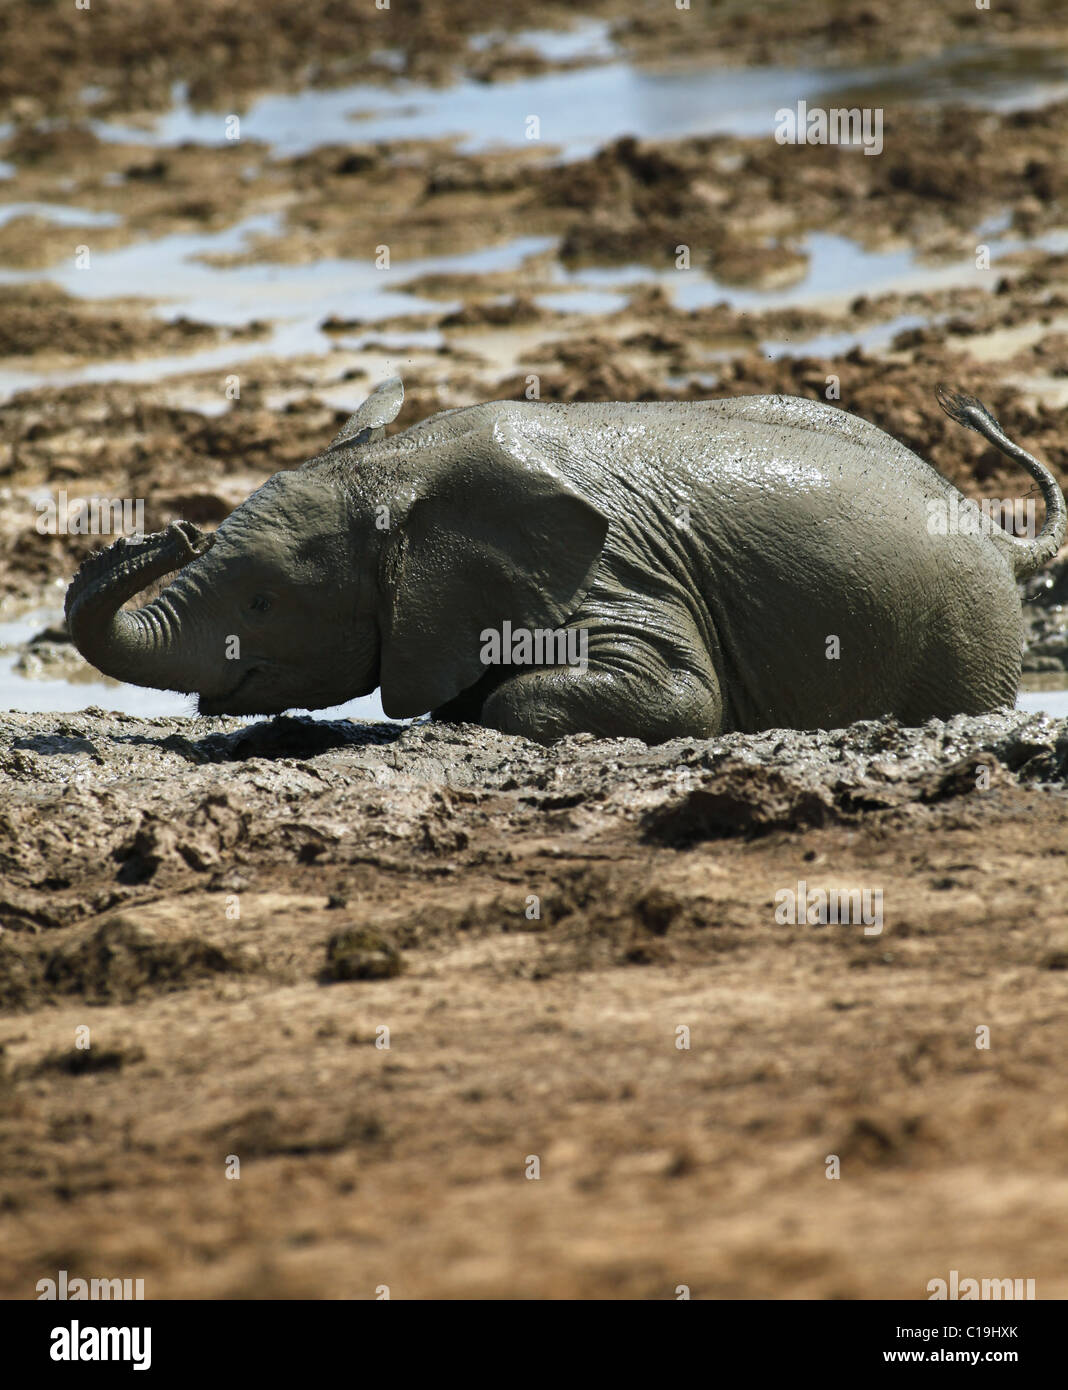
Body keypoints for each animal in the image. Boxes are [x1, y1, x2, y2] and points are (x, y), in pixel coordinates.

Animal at [66, 378, 1066, 744]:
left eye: (263, 603)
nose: (174, 532)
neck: (402, 470)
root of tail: (989, 529)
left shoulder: (610, 578)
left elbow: (679, 698)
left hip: (964, 638)